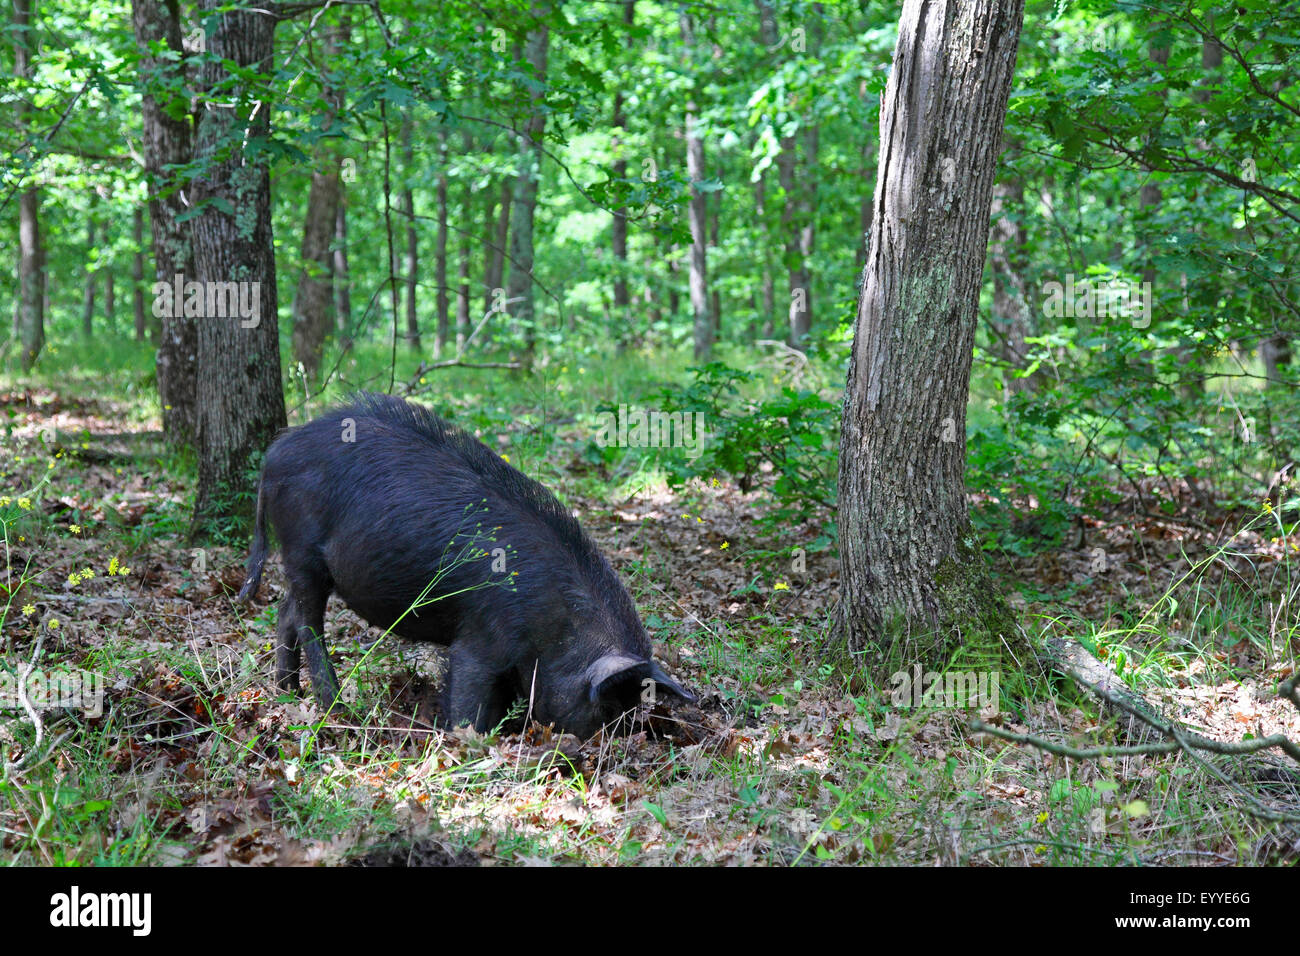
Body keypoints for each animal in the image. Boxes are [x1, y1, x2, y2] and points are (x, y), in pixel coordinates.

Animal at [239, 392, 696, 738]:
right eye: (605, 707)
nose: (603, 747)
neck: (558, 625)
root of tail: (275, 452)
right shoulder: (481, 637)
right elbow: (468, 695)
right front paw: (466, 739)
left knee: (285, 611)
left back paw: (288, 693)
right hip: (302, 550)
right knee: (306, 620)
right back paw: (333, 705)